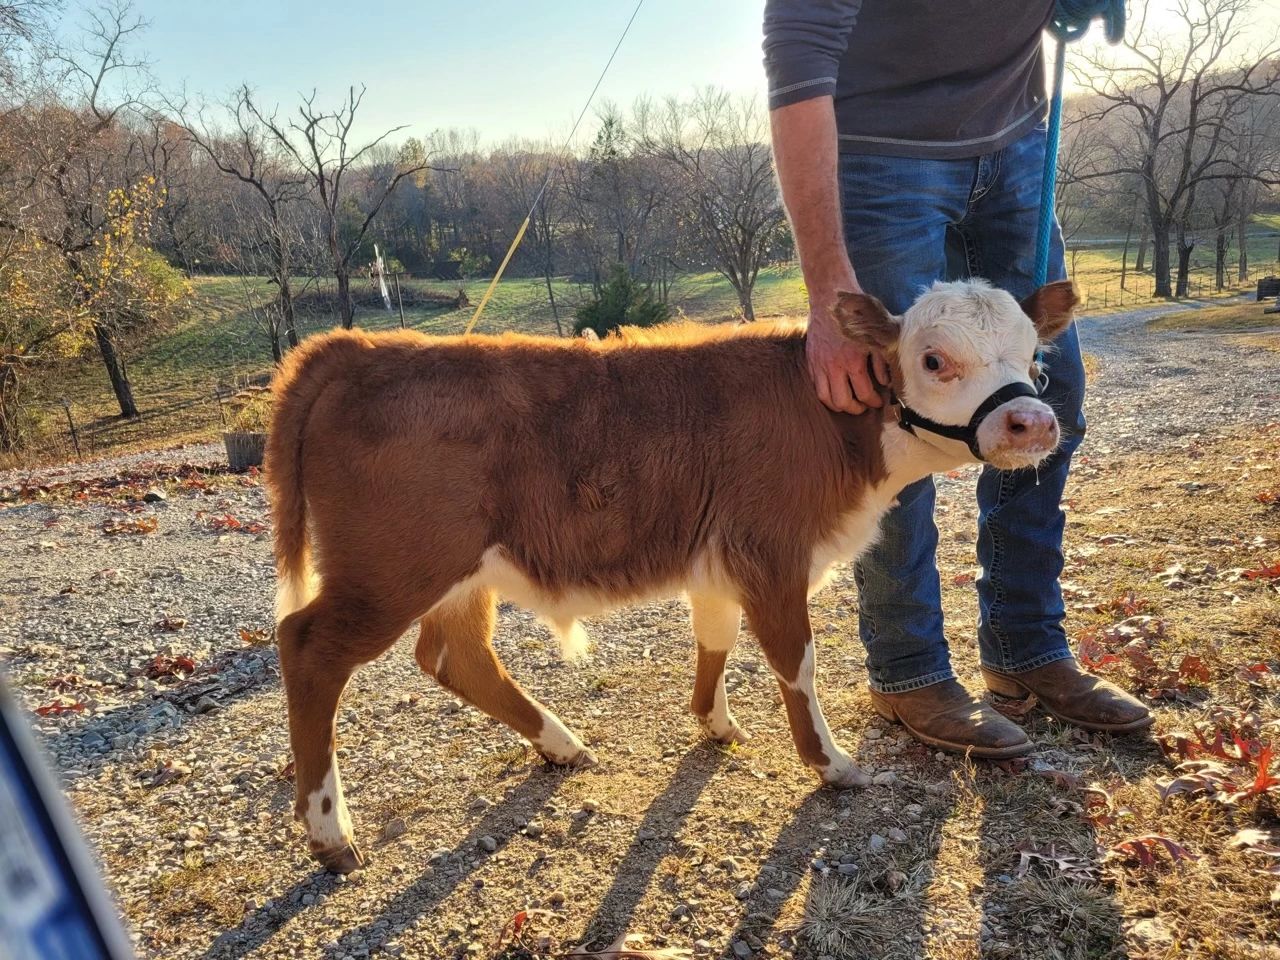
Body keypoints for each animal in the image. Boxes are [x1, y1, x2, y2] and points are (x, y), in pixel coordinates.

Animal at [266, 278, 1078, 872]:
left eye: (1035, 357)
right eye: (934, 359)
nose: (1033, 423)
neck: (826, 417)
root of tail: (359, 348)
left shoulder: (719, 562)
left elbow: (715, 638)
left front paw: (715, 723)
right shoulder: (773, 555)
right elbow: (796, 661)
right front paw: (831, 764)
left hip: (460, 575)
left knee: (454, 656)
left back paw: (560, 743)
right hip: (392, 569)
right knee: (309, 647)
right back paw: (330, 833)